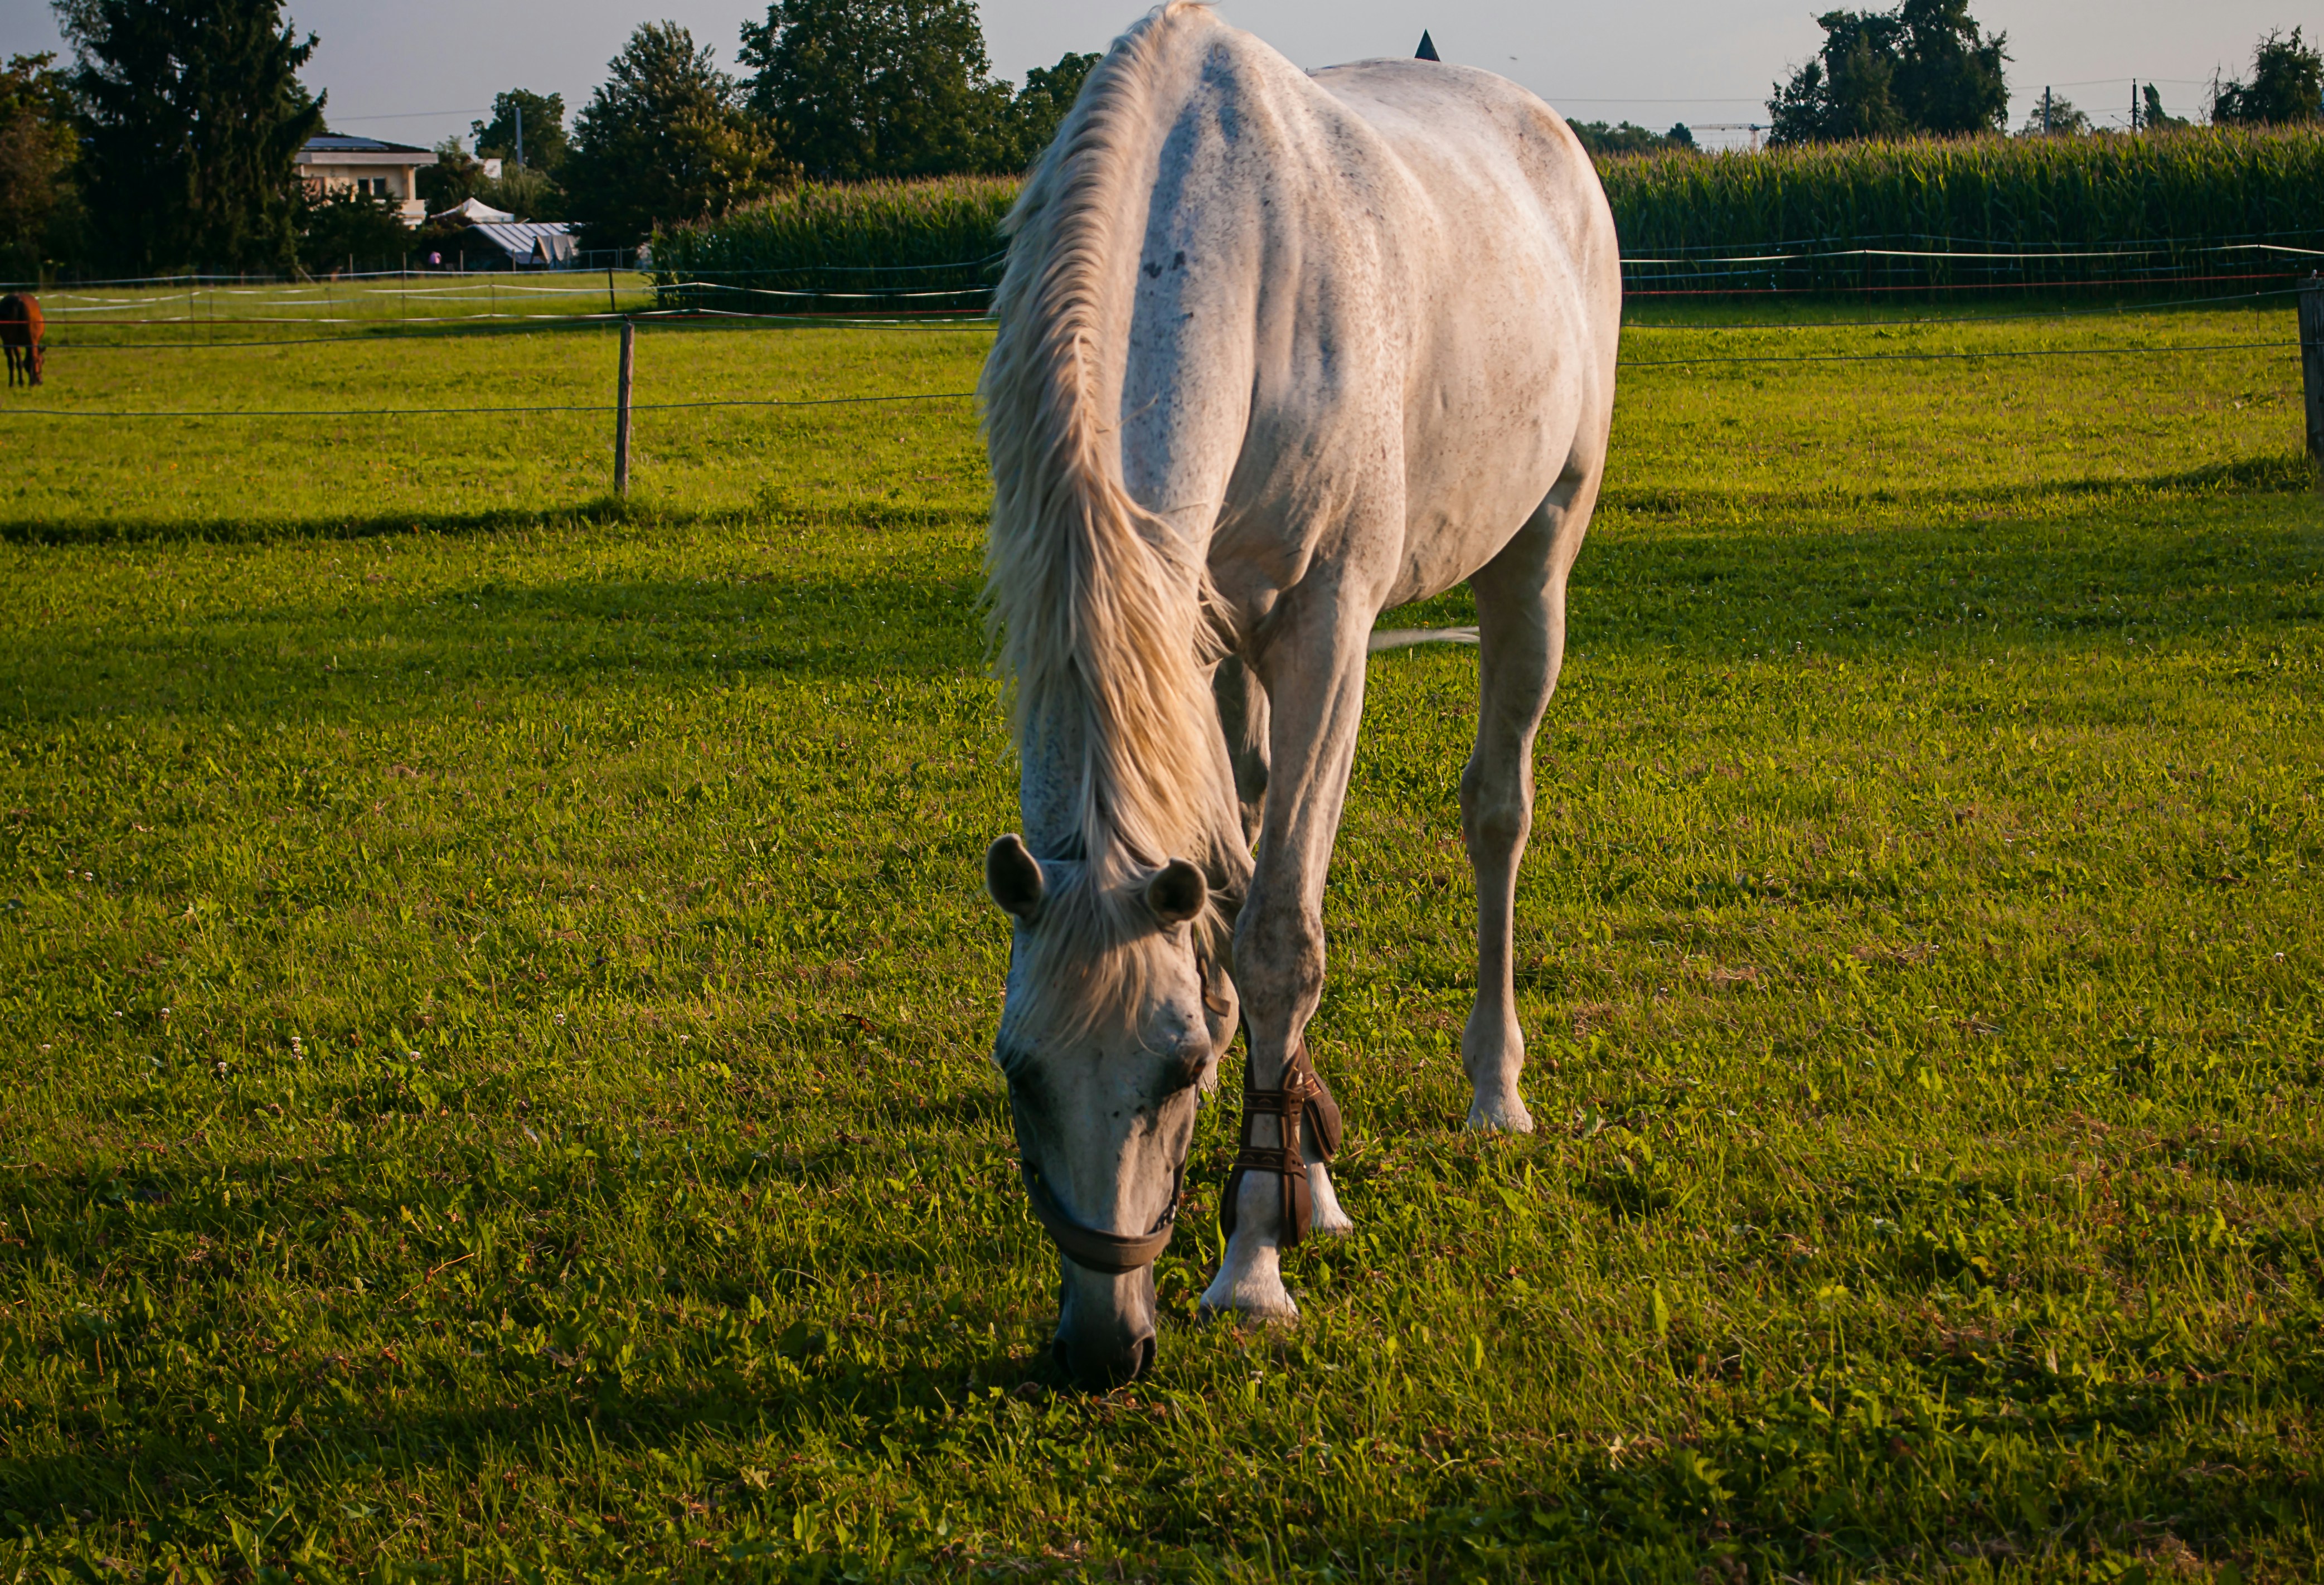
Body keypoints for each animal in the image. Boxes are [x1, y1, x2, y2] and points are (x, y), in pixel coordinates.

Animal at [0, 293, 43, 388]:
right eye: (43, 361)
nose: (41, 381)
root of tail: (19, 301)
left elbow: (19, 362)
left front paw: (21, 382)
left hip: (8, 342)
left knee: (12, 362)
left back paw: (13, 384)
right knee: (32, 359)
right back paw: (29, 382)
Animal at [977, 2, 1620, 1388]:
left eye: (1174, 1070)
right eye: (1017, 1069)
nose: (1099, 1346)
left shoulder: (1326, 633)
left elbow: (1280, 937)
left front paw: (1251, 1267)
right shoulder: (1191, 635)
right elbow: (1228, 903)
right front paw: (1290, 1181)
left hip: (1534, 559)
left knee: (1495, 811)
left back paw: (1494, 1089)